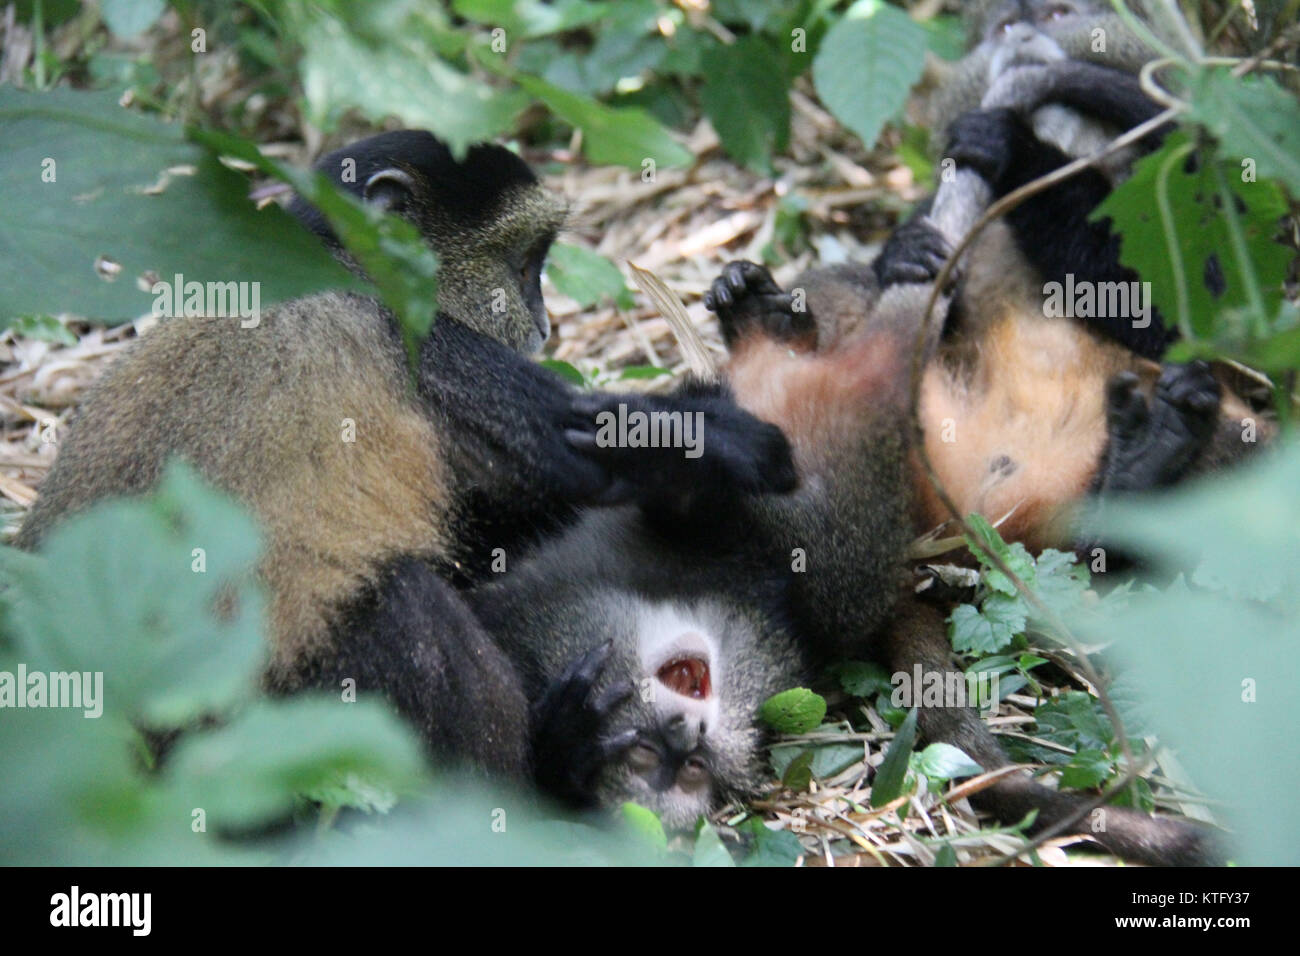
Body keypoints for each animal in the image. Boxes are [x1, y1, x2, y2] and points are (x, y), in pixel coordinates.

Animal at [14, 130, 796, 779]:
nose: (546, 324)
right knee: (400, 602)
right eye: (523, 267)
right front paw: (730, 439)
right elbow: (591, 459)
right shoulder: (422, 347)